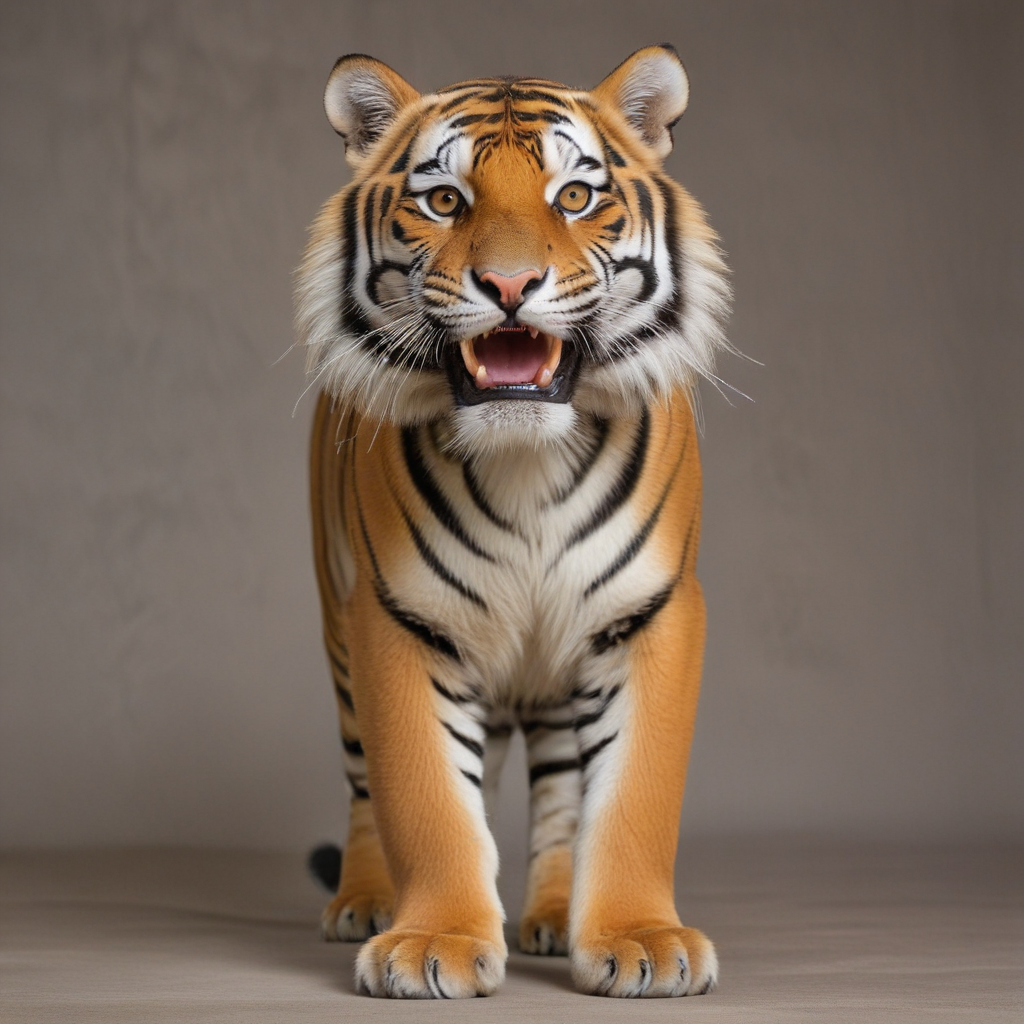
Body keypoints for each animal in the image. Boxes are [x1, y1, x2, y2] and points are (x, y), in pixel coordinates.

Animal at [296, 44, 731, 999]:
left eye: (574, 196)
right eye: (444, 201)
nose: (507, 285)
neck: (526, 457)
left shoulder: (652, 615)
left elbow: (633, 794)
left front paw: (641, 941)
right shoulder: (399, 622)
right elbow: (426, 799)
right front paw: (435, 942)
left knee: (566, 795)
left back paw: (553, 918)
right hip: (337, 629)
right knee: (361, 783)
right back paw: (365, 903)